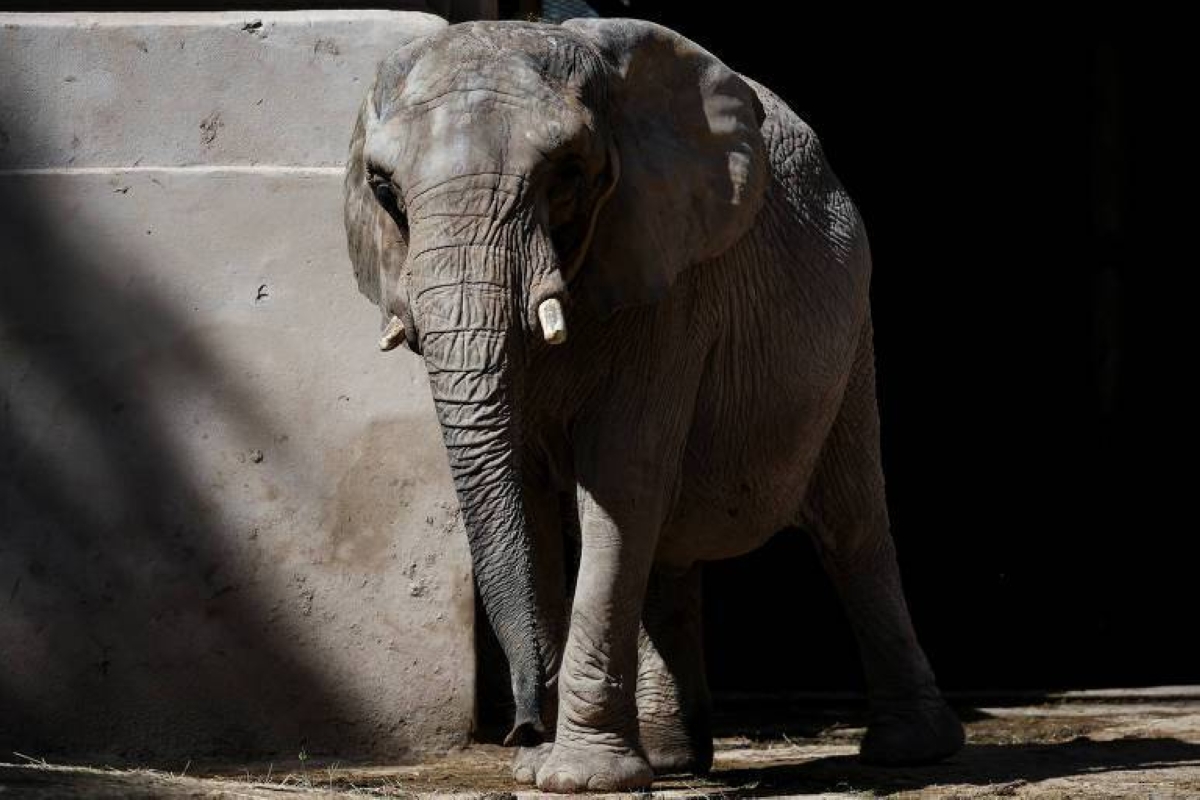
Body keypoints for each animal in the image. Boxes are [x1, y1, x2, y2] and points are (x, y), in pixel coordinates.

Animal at [343, 16, 964, 792]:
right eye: (383, 188)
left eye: (565, 175)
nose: (521, 723)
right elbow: (531, 494)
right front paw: (544, 767)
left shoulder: (669, 283)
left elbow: (618, 480)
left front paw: (578, 779)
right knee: (668, 541)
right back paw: (673, 757)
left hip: (850, 334)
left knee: (853, 528)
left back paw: (911, 752)